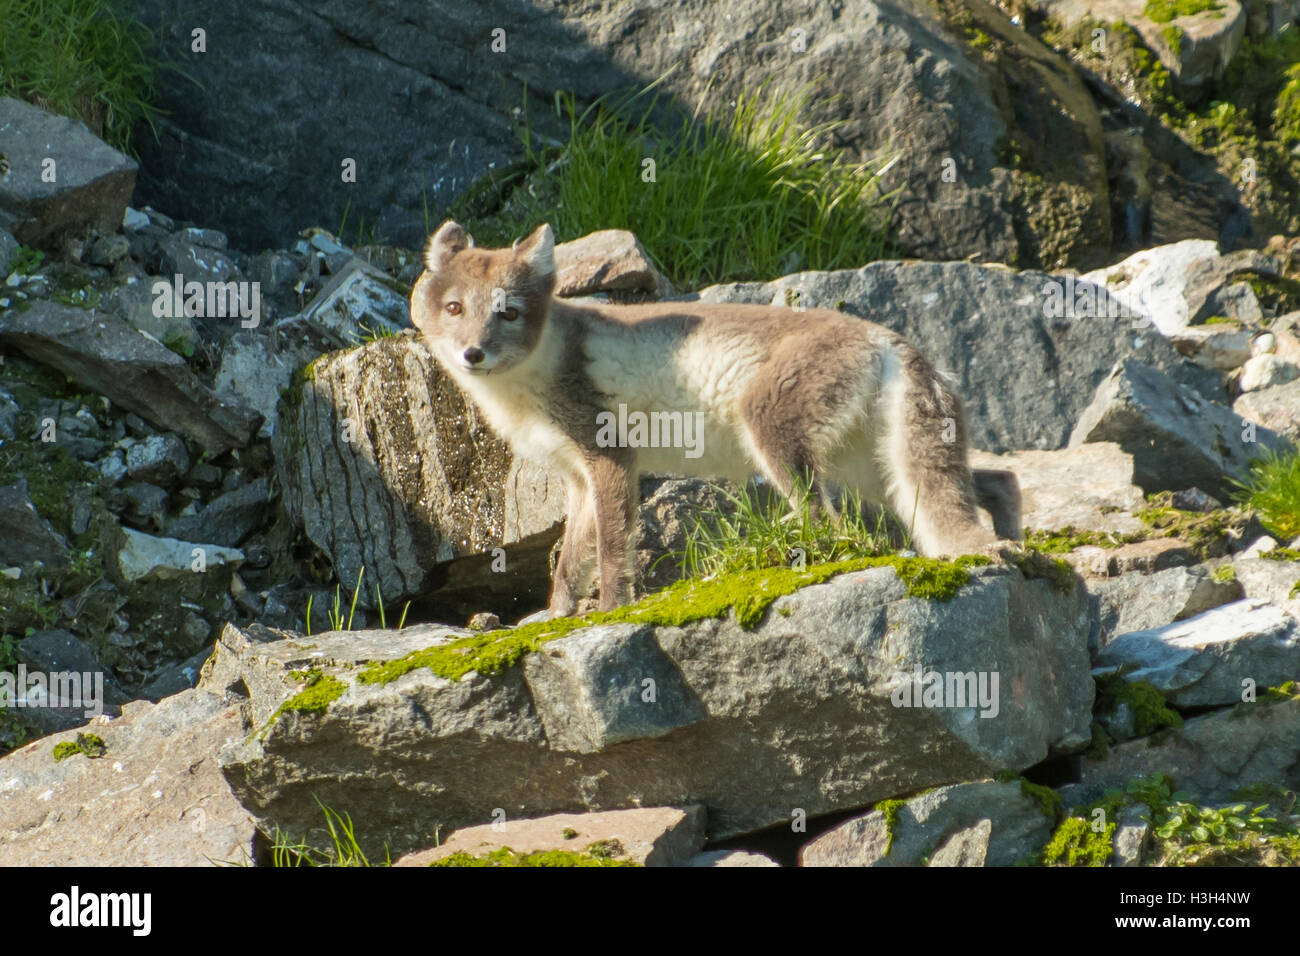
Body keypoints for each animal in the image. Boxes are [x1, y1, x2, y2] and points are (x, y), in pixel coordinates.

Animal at [411, 220, 1021, 620]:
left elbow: (610, 552)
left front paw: (612, 611)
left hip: (777, 438)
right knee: (998, 479)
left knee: (832, 524)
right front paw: (557, 616)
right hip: (873, 471)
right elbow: (570, 561)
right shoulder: (579, 478)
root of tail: (891, 339)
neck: (536, 373)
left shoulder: (611, 458)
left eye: (508, 313)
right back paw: (1016, 538)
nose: (473, 354)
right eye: (455, 309)